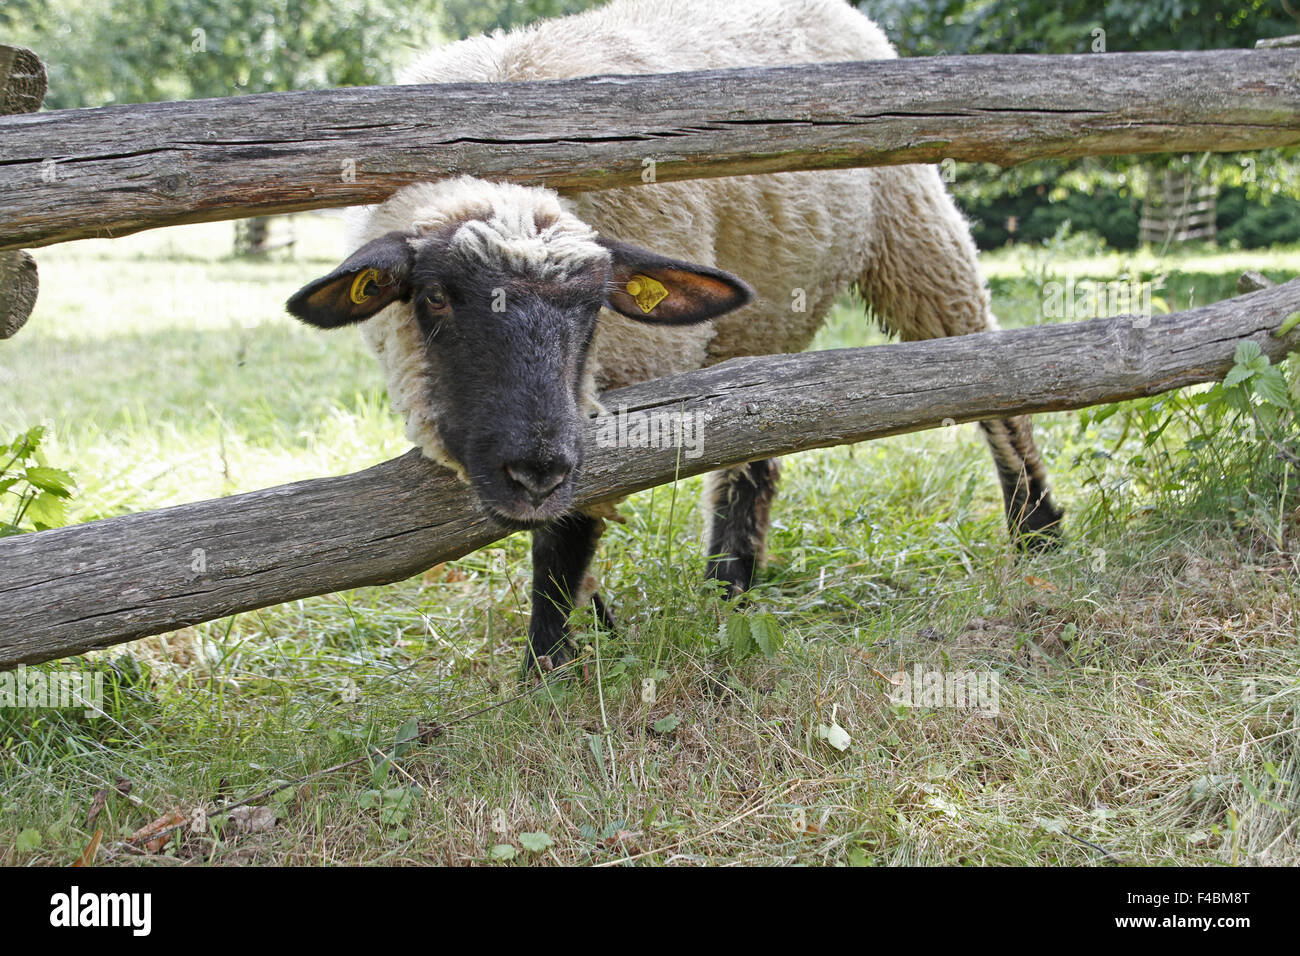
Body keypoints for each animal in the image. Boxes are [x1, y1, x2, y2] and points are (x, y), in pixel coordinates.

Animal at [286, 0, 1063, 672]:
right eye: (436, 298)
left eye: (594, 308)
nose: (533, 470)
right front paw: (589, 627)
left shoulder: (614, 389)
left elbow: (564, 533)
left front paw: (548, 665)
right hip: (763, 319)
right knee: (754, 453)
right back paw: (729, 585)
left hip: (919, 234)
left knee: (996, 386)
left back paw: (1039, 532)